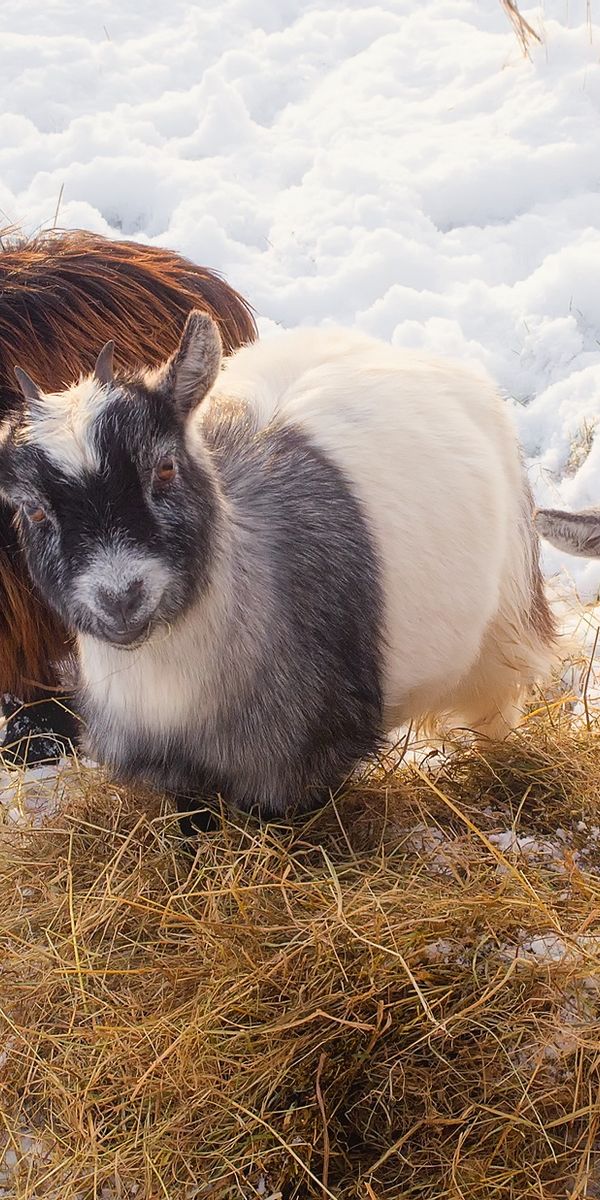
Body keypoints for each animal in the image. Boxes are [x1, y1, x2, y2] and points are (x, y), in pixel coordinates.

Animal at [0, 315, 555, 820]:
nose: (120, 597)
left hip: (505, 629)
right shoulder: (174, 770)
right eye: (33, 510)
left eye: (165, 468)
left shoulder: (301, 761)